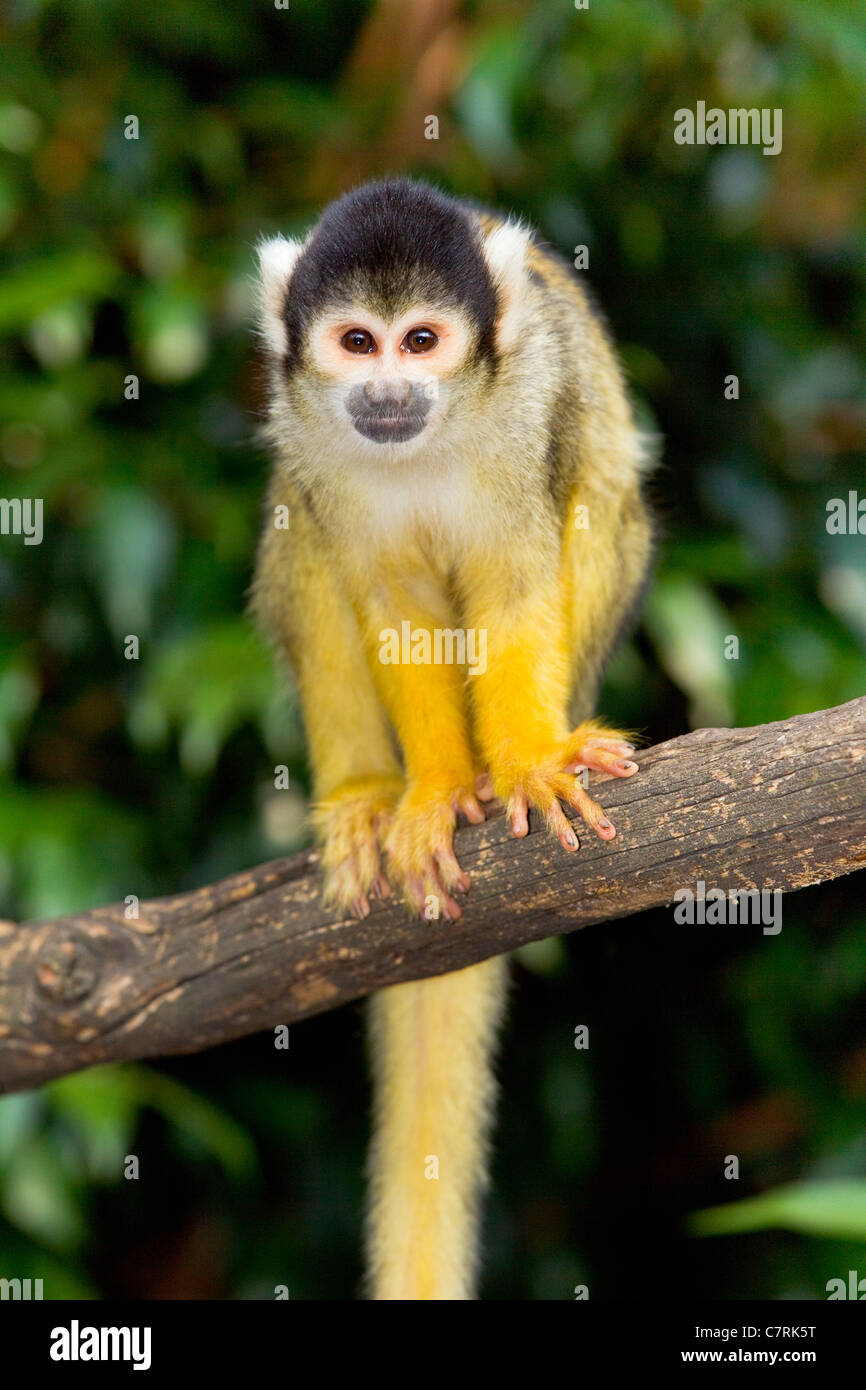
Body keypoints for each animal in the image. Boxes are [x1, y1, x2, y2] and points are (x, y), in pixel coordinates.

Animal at [251, 178, 654, 1300]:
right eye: (358, 342)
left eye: (420, 341)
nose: (388, 391)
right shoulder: (312, 434)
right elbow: (386, 597)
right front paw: (431, 793)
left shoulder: (521, 412)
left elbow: (516, 576)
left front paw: (525, 765)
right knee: (302, 535)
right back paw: (366, 795)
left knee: (594, 496)